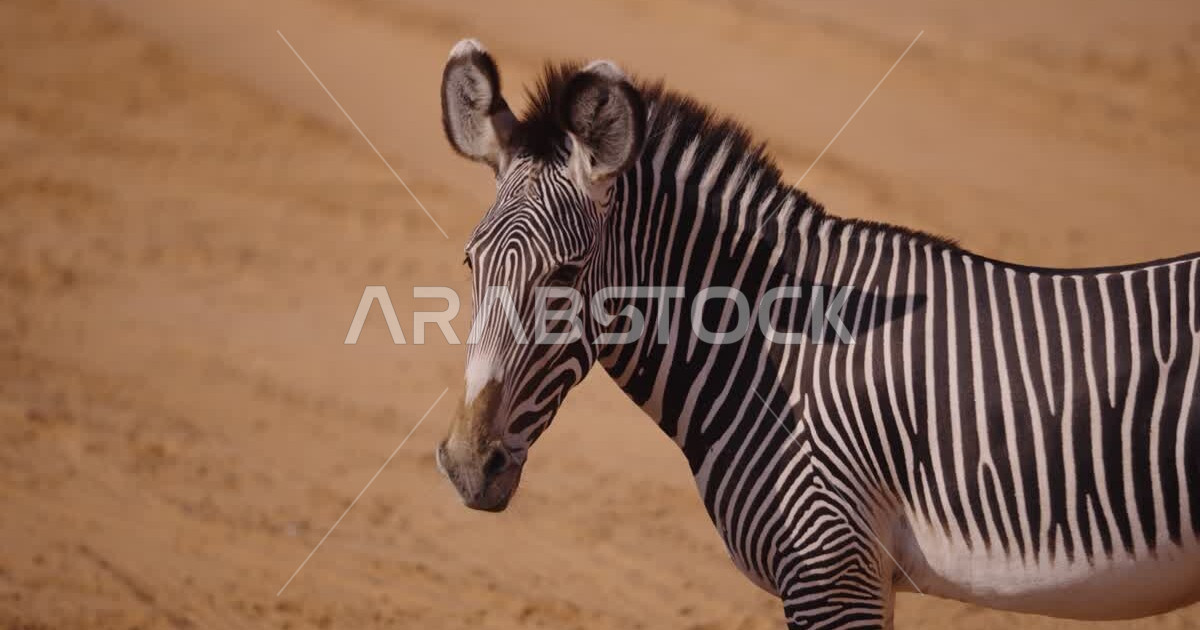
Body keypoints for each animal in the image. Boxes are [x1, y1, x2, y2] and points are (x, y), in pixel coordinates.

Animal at [433, 39, 1200, 628]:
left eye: (566, 274)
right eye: (470, 264)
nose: (468, 467)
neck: (767, 356)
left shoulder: (831, 568)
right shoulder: (863, 575)